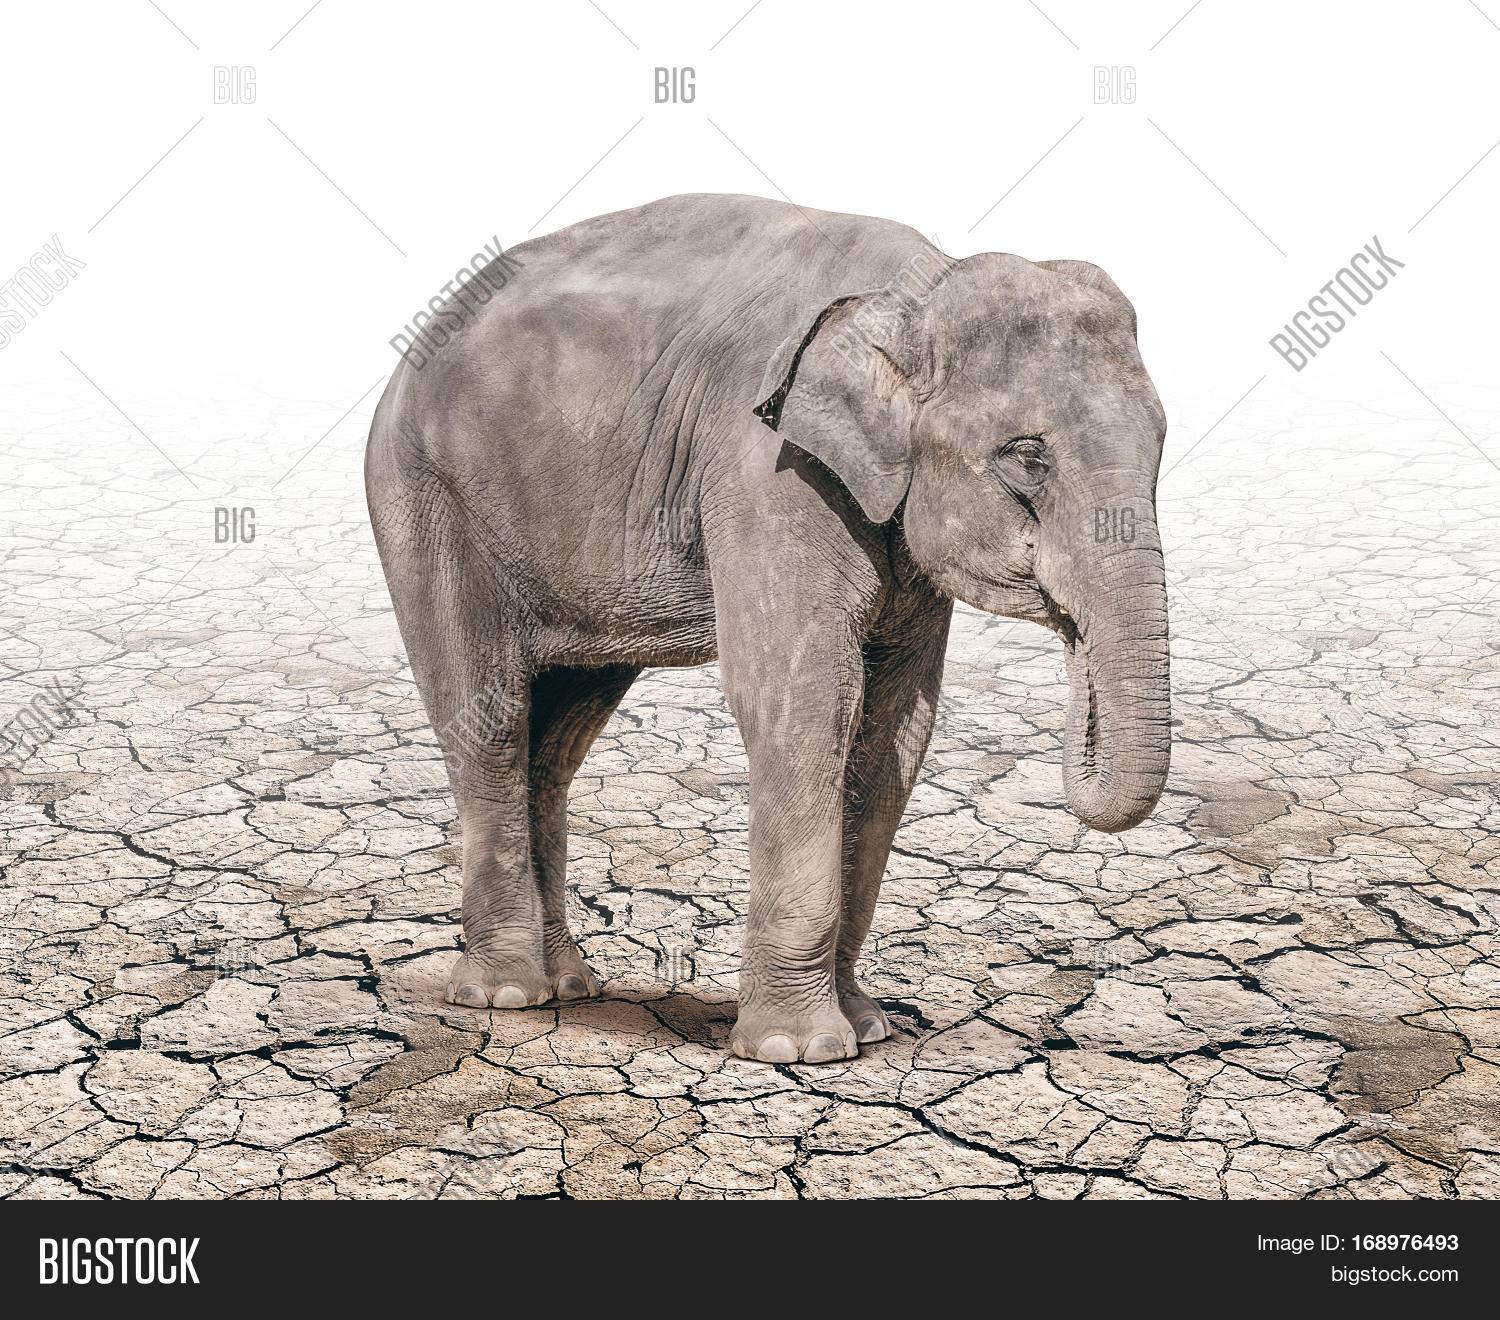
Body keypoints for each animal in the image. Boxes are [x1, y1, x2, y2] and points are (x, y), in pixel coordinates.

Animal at [365, 193, 1170, 1064]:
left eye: (1163, 445)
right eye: (1026, 458)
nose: (1070, 634)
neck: (918, 289)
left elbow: (897, 726)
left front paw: (868, 1028)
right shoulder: (765, 467)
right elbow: (805, 698)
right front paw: (799, 1051)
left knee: (556, 741)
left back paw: (572, 986)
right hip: (425, 500)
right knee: (488, 719)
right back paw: (509, 995)